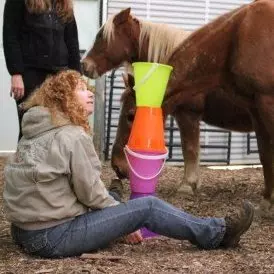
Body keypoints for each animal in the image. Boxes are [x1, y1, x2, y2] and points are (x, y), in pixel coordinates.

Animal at [82, 1, 274, 217]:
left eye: (101, 37)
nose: (84, 65)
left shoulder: (188, 114)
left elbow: (189, 149)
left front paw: (187, 185)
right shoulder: (255, 113)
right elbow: (265, 154)